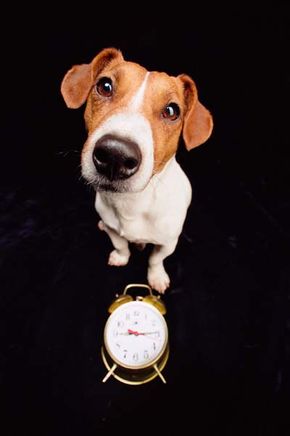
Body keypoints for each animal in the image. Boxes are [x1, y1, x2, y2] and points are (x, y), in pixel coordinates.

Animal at [60, 47, 213, 292]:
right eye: (105, 86)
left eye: (172, 110)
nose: (115, 156)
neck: (132, 202)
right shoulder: (115, 231)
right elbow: (121, 245)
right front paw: (120, 257)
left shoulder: (168, 243)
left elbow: (156, 259)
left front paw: (156, 277)